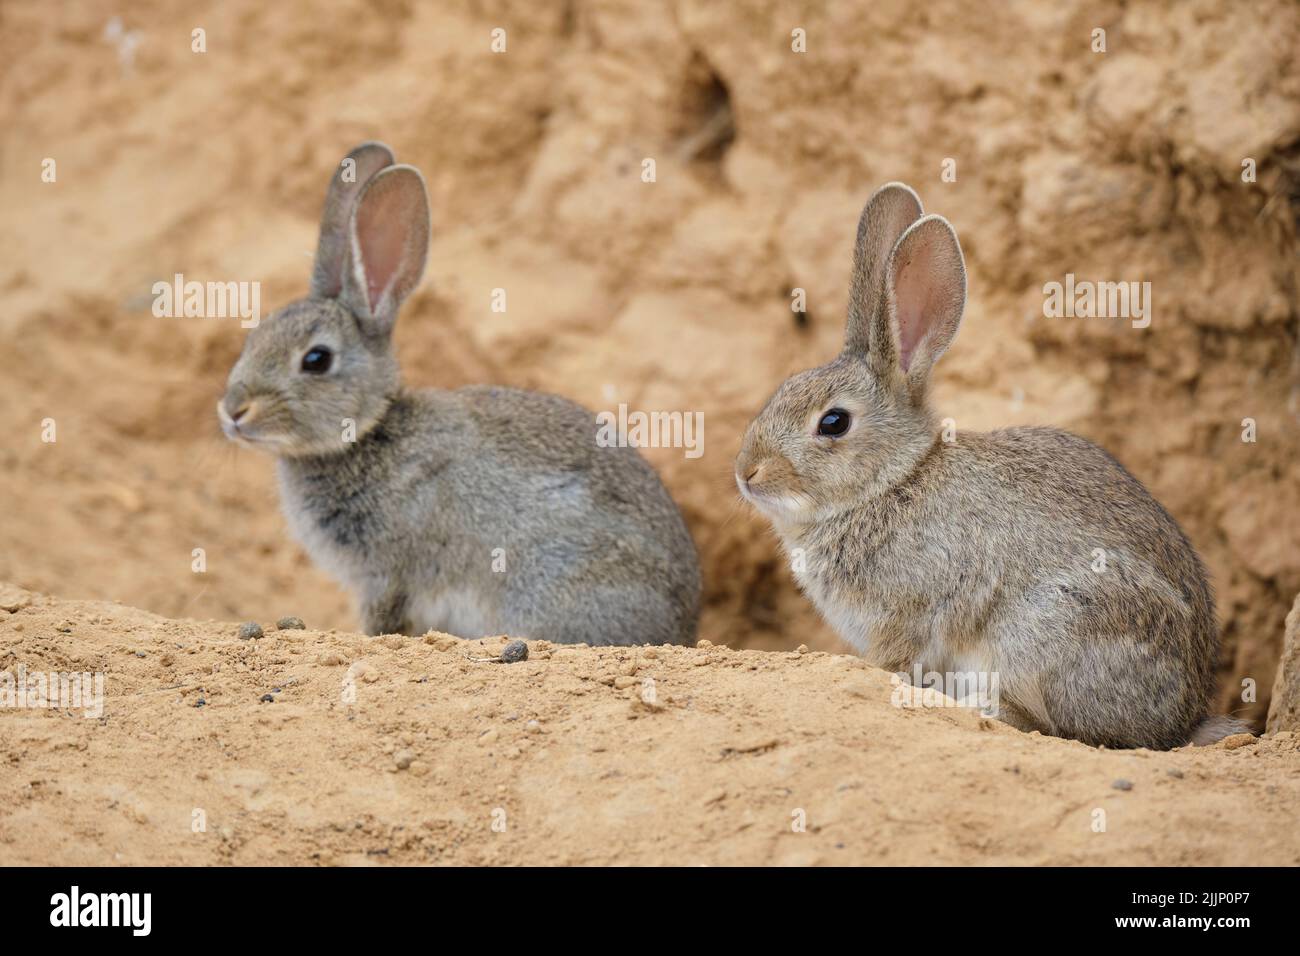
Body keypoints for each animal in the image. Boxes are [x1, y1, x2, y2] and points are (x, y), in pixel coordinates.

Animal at [218, 142, 701, 646]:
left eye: (316, 360)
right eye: (255, 337)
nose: (233, 412)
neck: (367, 434)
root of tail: (682, 628)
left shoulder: (387, 574)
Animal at [735, 182, 1249, 750]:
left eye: (833, 422)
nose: (746, 473)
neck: (894, 481)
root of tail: (1181, 720)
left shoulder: (907, 611)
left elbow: (898, 658)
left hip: (1043, 629)